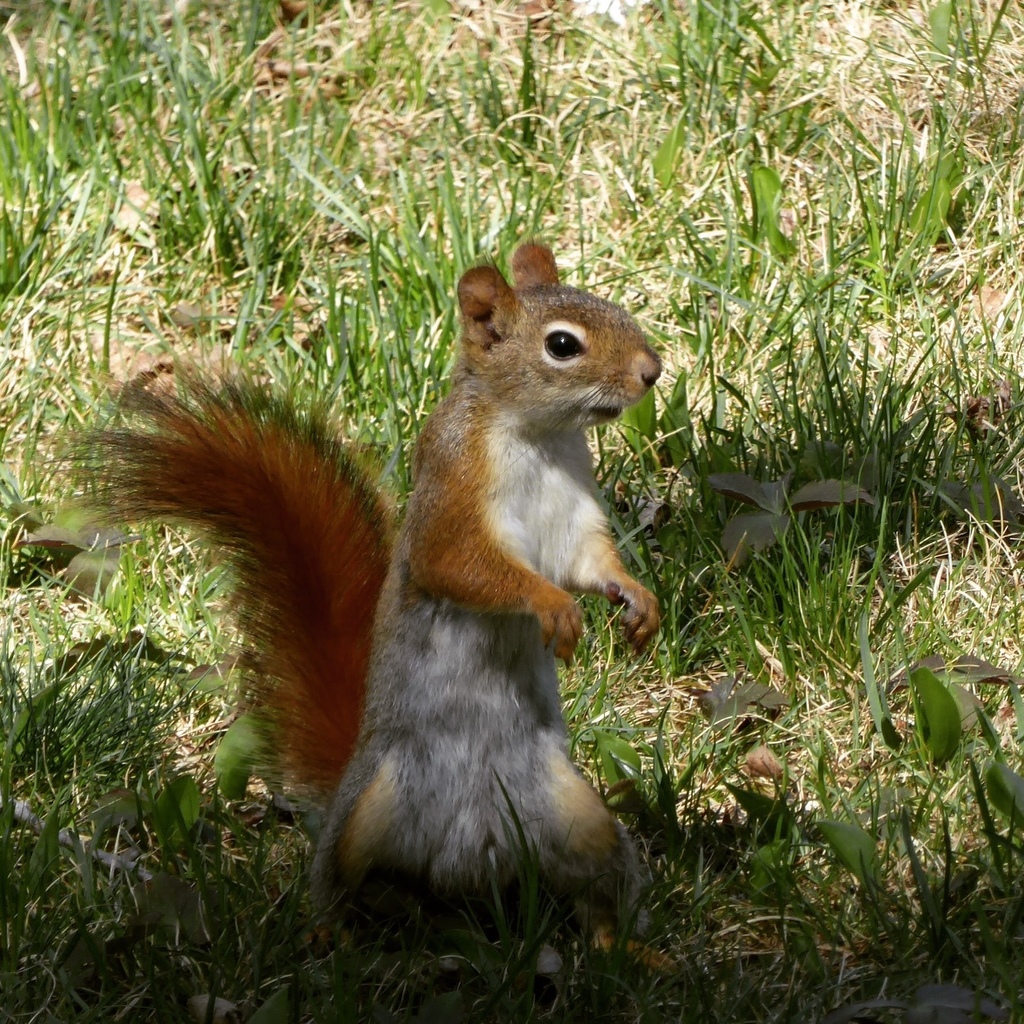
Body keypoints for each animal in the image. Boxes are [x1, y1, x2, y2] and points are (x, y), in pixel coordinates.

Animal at [81, 242, 662, 947]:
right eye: (562, 345)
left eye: (616, 308)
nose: (652, 371)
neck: (538, 438)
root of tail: (468, 866)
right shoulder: (453, 491)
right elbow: (461, 565)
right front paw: (553, 606)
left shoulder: (574, 511)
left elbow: (588, 562)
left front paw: (639, 602)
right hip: (367, 811)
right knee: (339, 882)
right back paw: (326, 936)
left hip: (576, 818)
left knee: (596, 887)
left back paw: (622, 949)